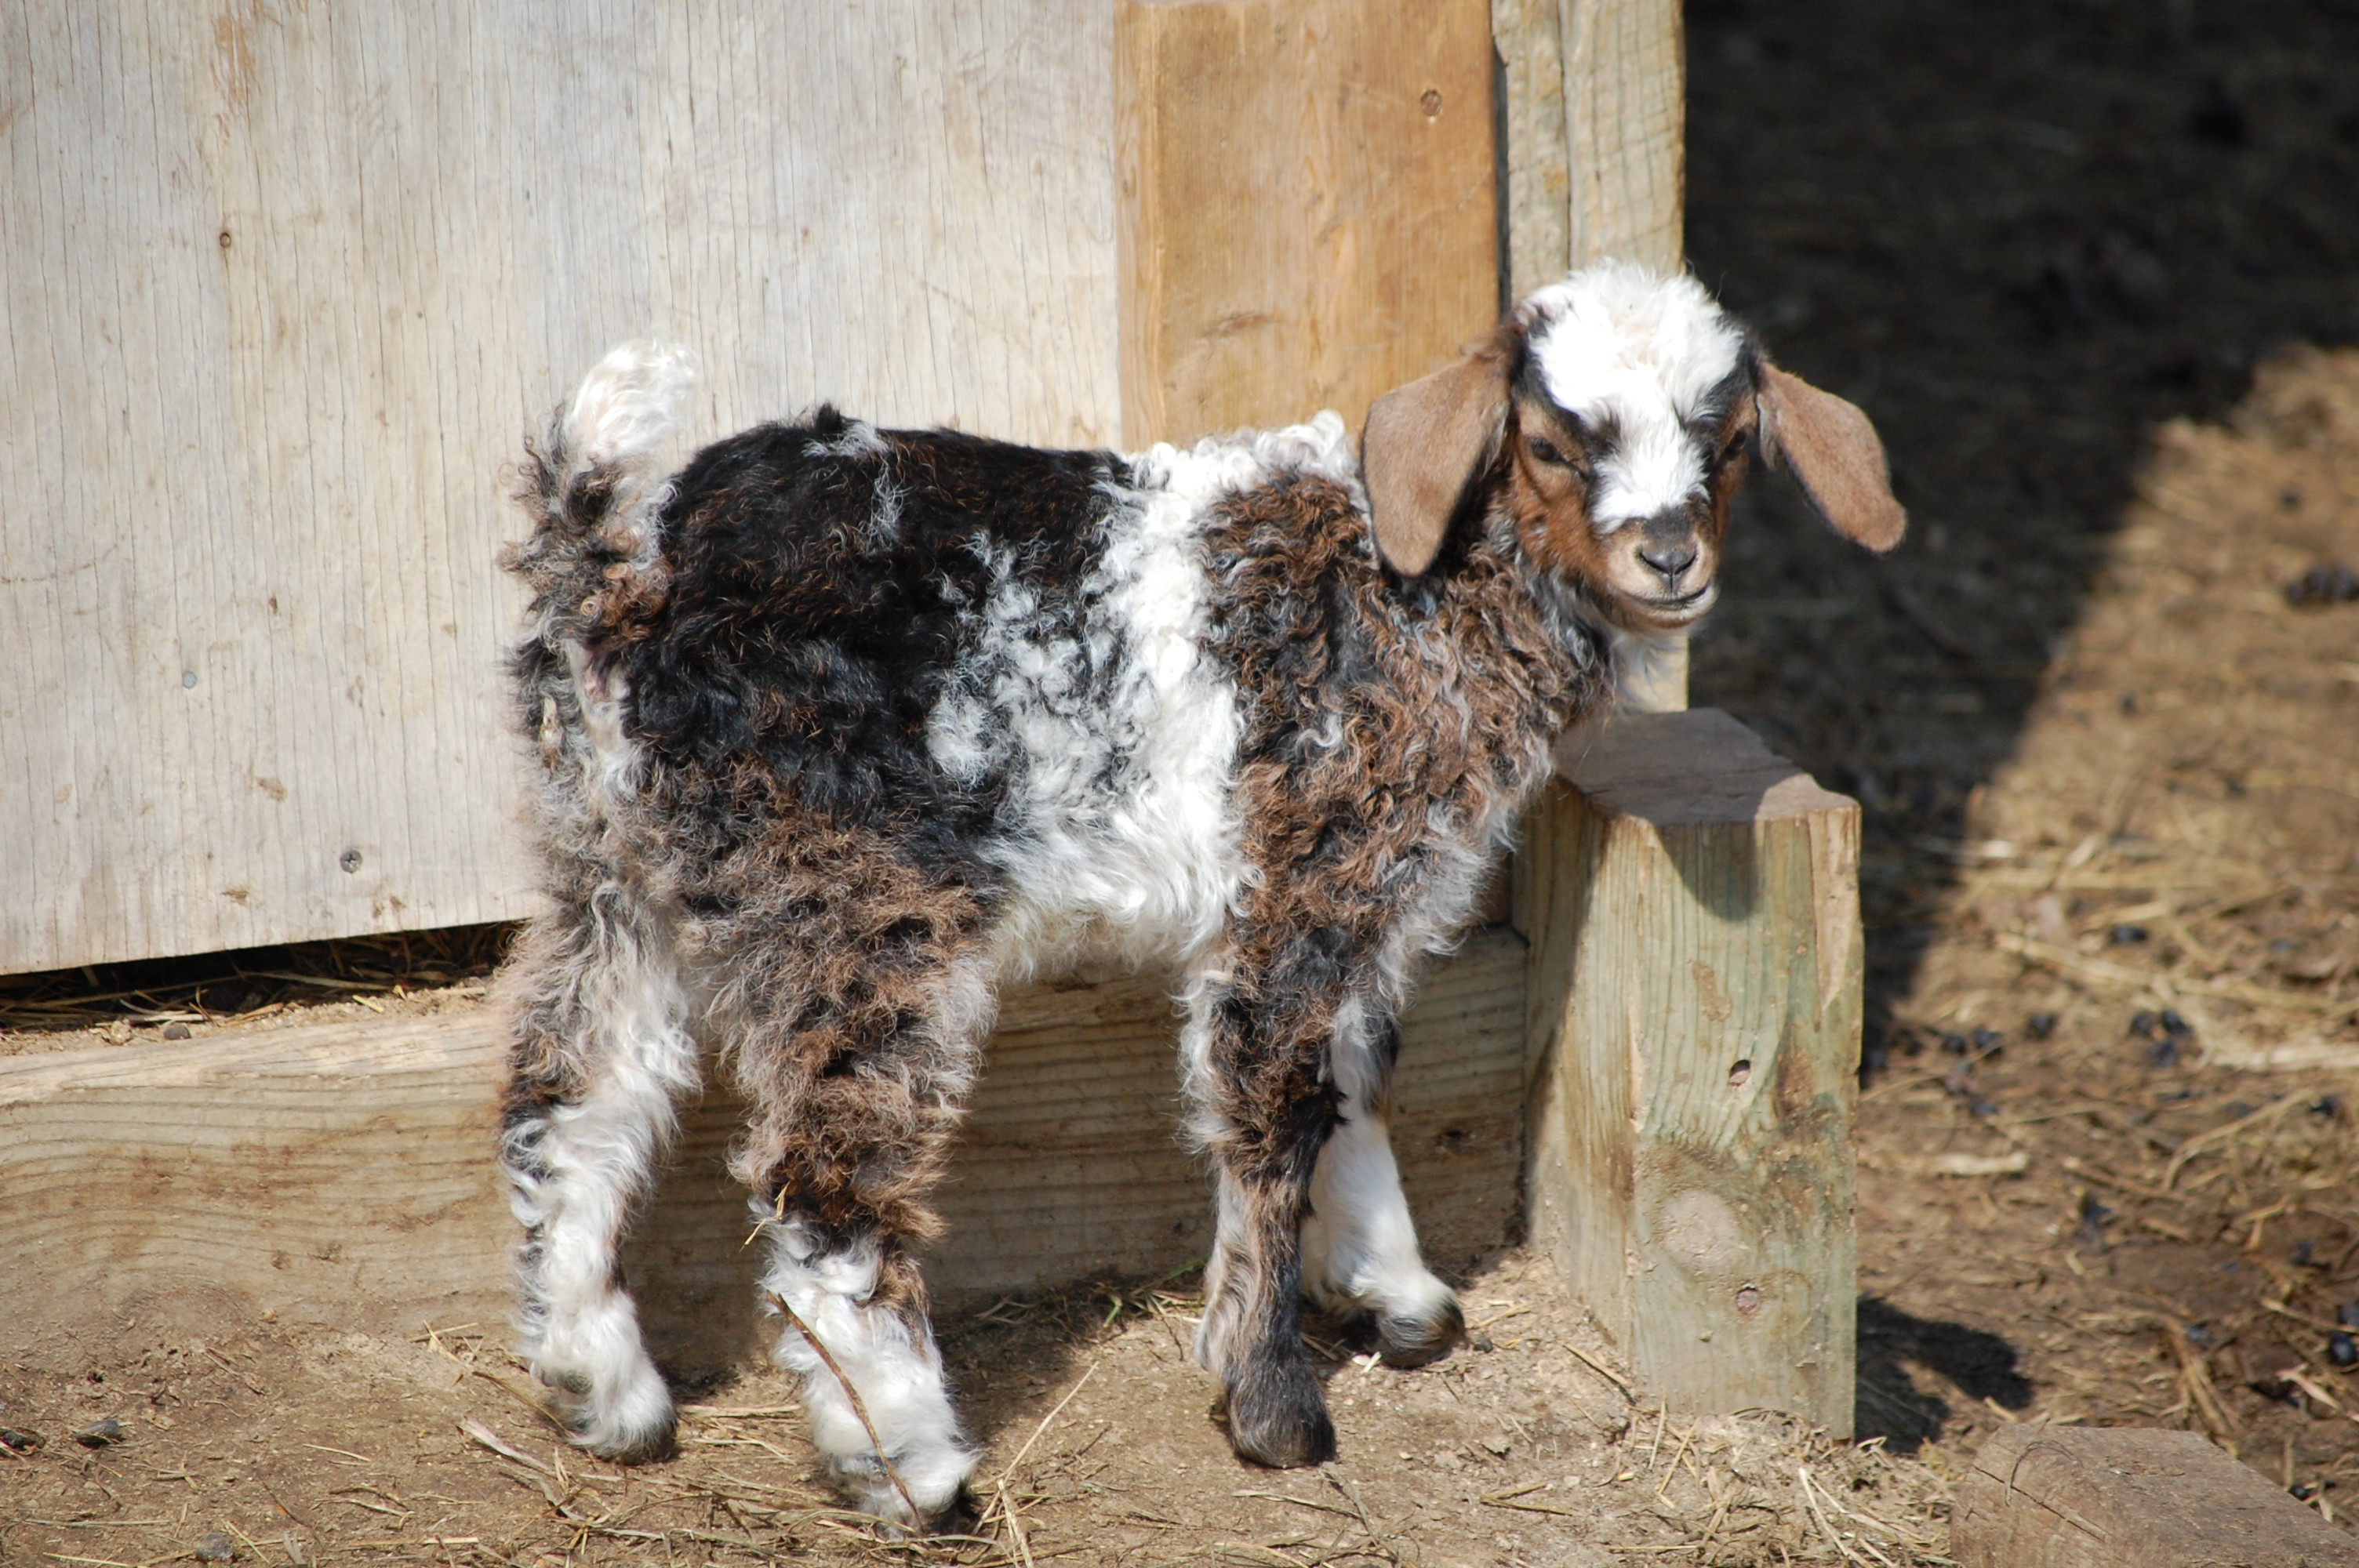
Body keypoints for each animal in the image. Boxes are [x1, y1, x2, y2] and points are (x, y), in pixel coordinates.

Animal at [495, 261, 1904, 1529]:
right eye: (1556, 445)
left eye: (1728, 444)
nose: (1669, 556)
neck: (1421, 583)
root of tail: (614, 568)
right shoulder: (1300, 883)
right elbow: (1272, 1118)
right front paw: (1271, 1406)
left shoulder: (1366, 906)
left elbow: (1352, 1079)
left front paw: (1397, 1293)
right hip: (859, 895)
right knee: (821, 1185)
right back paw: (913, 1465)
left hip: (612, 871)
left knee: (569, 1102)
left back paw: (601, 1387)